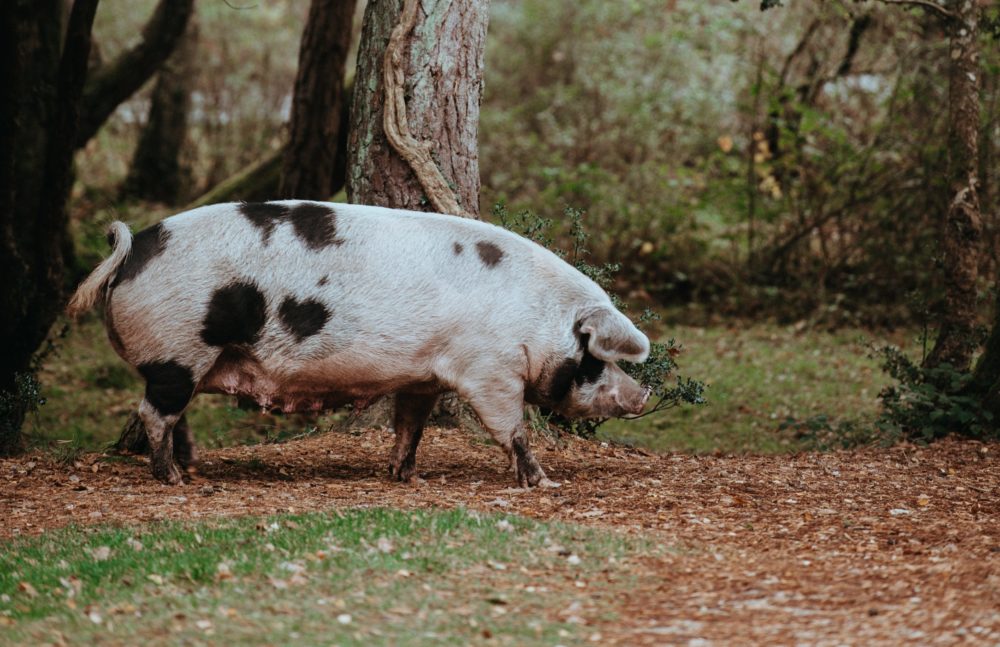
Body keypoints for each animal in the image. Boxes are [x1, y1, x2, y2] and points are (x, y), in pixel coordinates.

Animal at [67, 201, 651, 487]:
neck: (535, 316)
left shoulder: (425, 375)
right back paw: (174, 480)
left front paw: (405, 476)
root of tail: (133, 248)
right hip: (179, 349)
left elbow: (411, 426)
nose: (642, 395)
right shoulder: (490, 369)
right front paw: (544, 484)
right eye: (596, 358)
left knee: (172, 414)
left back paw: (191, 467)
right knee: (155, 412)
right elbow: (512, 430)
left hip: (187, 357)